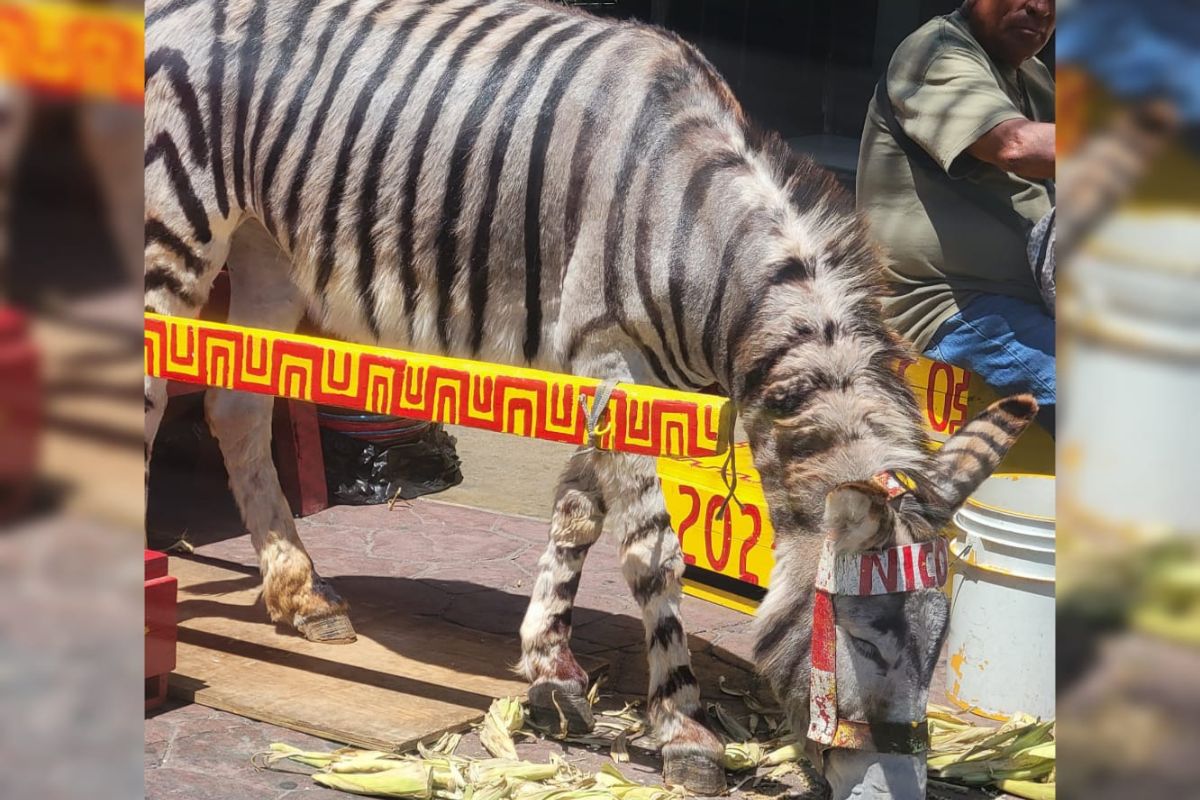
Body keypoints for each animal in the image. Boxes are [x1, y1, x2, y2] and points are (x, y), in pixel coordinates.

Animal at [143, 1, 1038, 797]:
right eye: (861, 640)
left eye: (938, 647)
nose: (902, 787)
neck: (690, 229)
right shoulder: (609, 357)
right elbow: (650, 550)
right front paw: (683, 732)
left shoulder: (605, 371)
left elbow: (577, 512)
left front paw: (551, 672)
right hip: (175, 225)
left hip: (263, 243)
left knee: (235, 408)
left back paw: (300, 595)